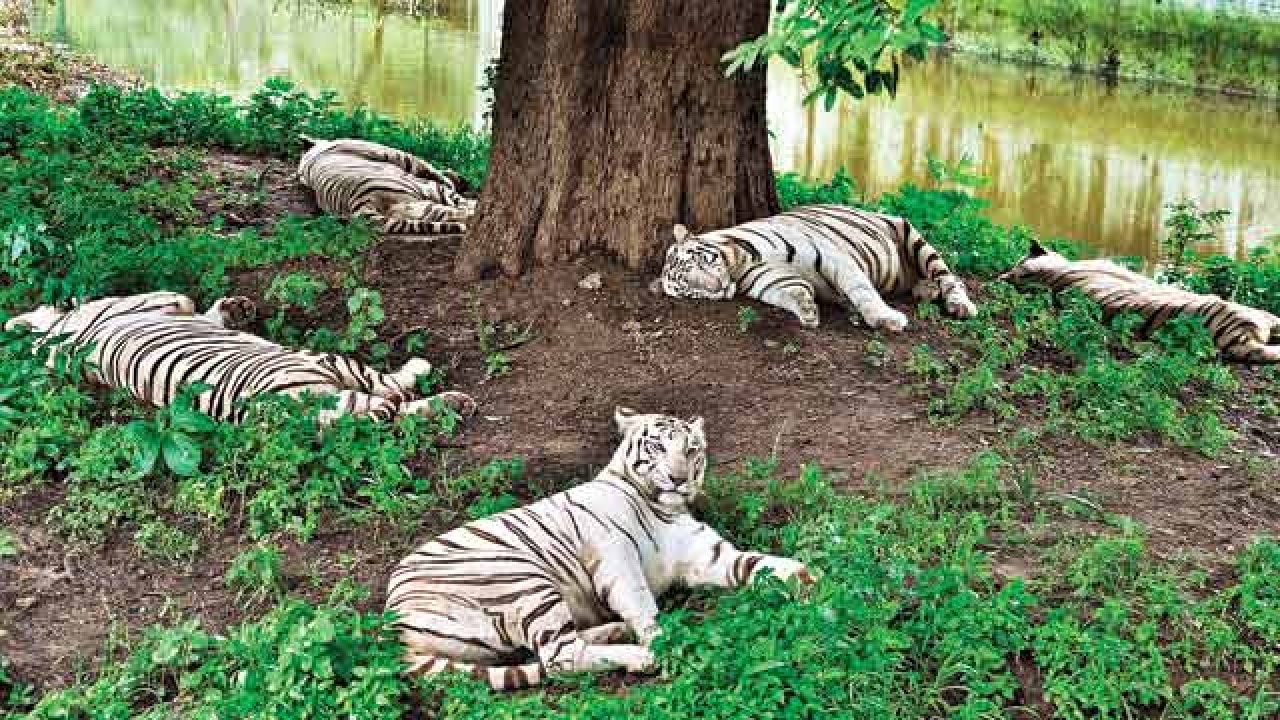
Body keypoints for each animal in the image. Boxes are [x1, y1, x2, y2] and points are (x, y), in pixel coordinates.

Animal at [3, 291, 476, 424]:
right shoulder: (164, 300)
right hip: (325, 366)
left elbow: (208, 312)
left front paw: (236, 307)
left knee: (394, 408)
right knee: (391, 396)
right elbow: (191, 301)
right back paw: (440, 387)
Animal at [297, 136, 476, 236]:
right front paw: (456, 179)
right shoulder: (397, 154)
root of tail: (358, 206)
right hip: (427, 189)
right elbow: (430, 168)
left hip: (415, 208)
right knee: (461, 207)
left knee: (454, 213)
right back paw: (473, 206)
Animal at [385, 407, 813, 691]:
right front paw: (666, 644)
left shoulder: (707, 555)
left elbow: (762, 564)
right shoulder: (615, 553)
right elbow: (642, 603)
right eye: (658, 446)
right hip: (521, 579)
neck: (666, 507)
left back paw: (614, 631)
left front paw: (811, 583)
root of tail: (392, 617)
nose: (678, 479)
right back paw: (641, 656)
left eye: (692, 450)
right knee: (558, 658)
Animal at [655, 204, 978, 331]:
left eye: (701, 261)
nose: (719, 288)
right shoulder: (768, 279)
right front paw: (807, 310)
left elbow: (862, 289)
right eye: (691, 291)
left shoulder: (834, 256)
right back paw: (926, 290)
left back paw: (961, 305)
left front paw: (885, 318)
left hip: (911, 234)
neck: (739, 265)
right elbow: (789, 291)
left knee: (950, 277)